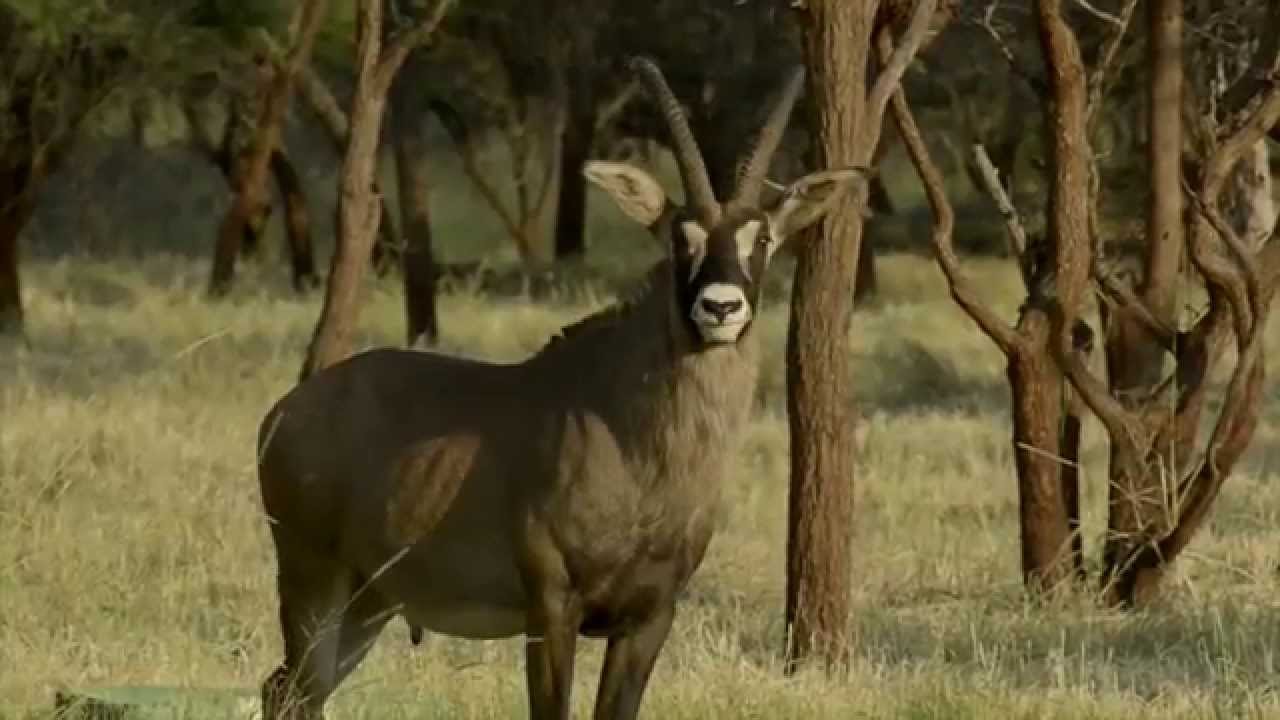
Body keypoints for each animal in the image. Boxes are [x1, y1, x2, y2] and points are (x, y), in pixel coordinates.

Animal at [256, 57, 864, 720]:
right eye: (682, 236)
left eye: (764, 239)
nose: (720, 307)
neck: (632, 438)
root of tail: (284, 412)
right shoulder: (552, 610)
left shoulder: (649, 617)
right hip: (314, 582)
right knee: (293, 689)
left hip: (369, 602)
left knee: (287, 690)